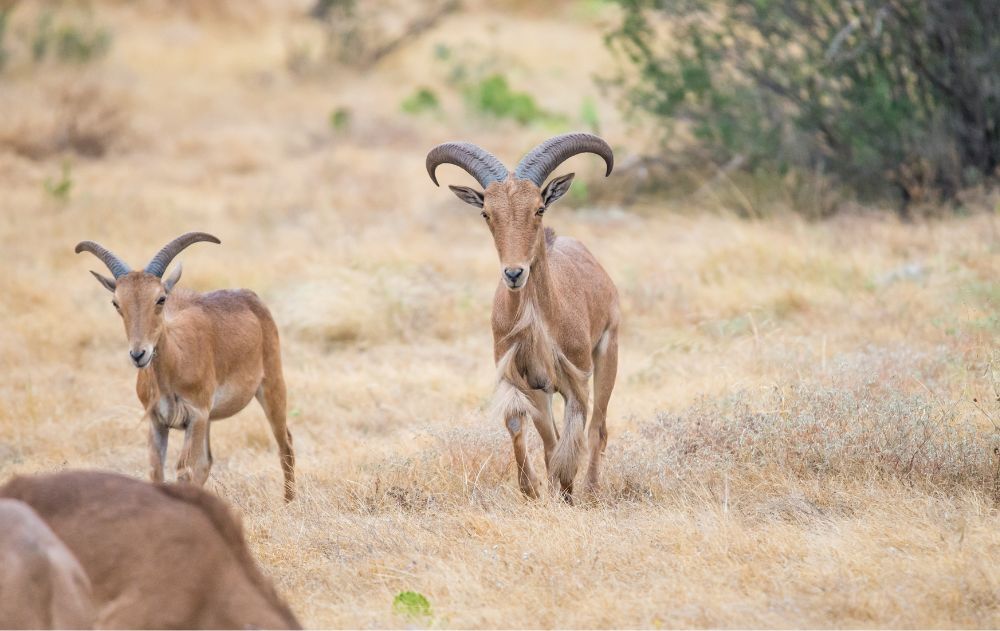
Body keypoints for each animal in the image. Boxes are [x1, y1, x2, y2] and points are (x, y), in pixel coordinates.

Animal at [75, 232, 295, 501]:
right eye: (116, 302)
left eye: (160, 298)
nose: (139, 354)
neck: (175, 363)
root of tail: (250, 297)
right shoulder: (158, 421)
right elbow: (157, 471)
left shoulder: (196, 415)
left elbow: (185, 470)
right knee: (207, 462)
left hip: (272, 386)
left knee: (285, 443)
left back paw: (288, 502)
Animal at [426, 133, 620, 503]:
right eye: (486, 213)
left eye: (538, 208)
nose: (514, 273)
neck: (537, 321)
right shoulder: (525, 380)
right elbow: (528, 430)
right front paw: (533, 489)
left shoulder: (575, 376)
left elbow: (572, 437)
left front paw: (567, 490)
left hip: (608, 352)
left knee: (598, 428)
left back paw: (591, 489)